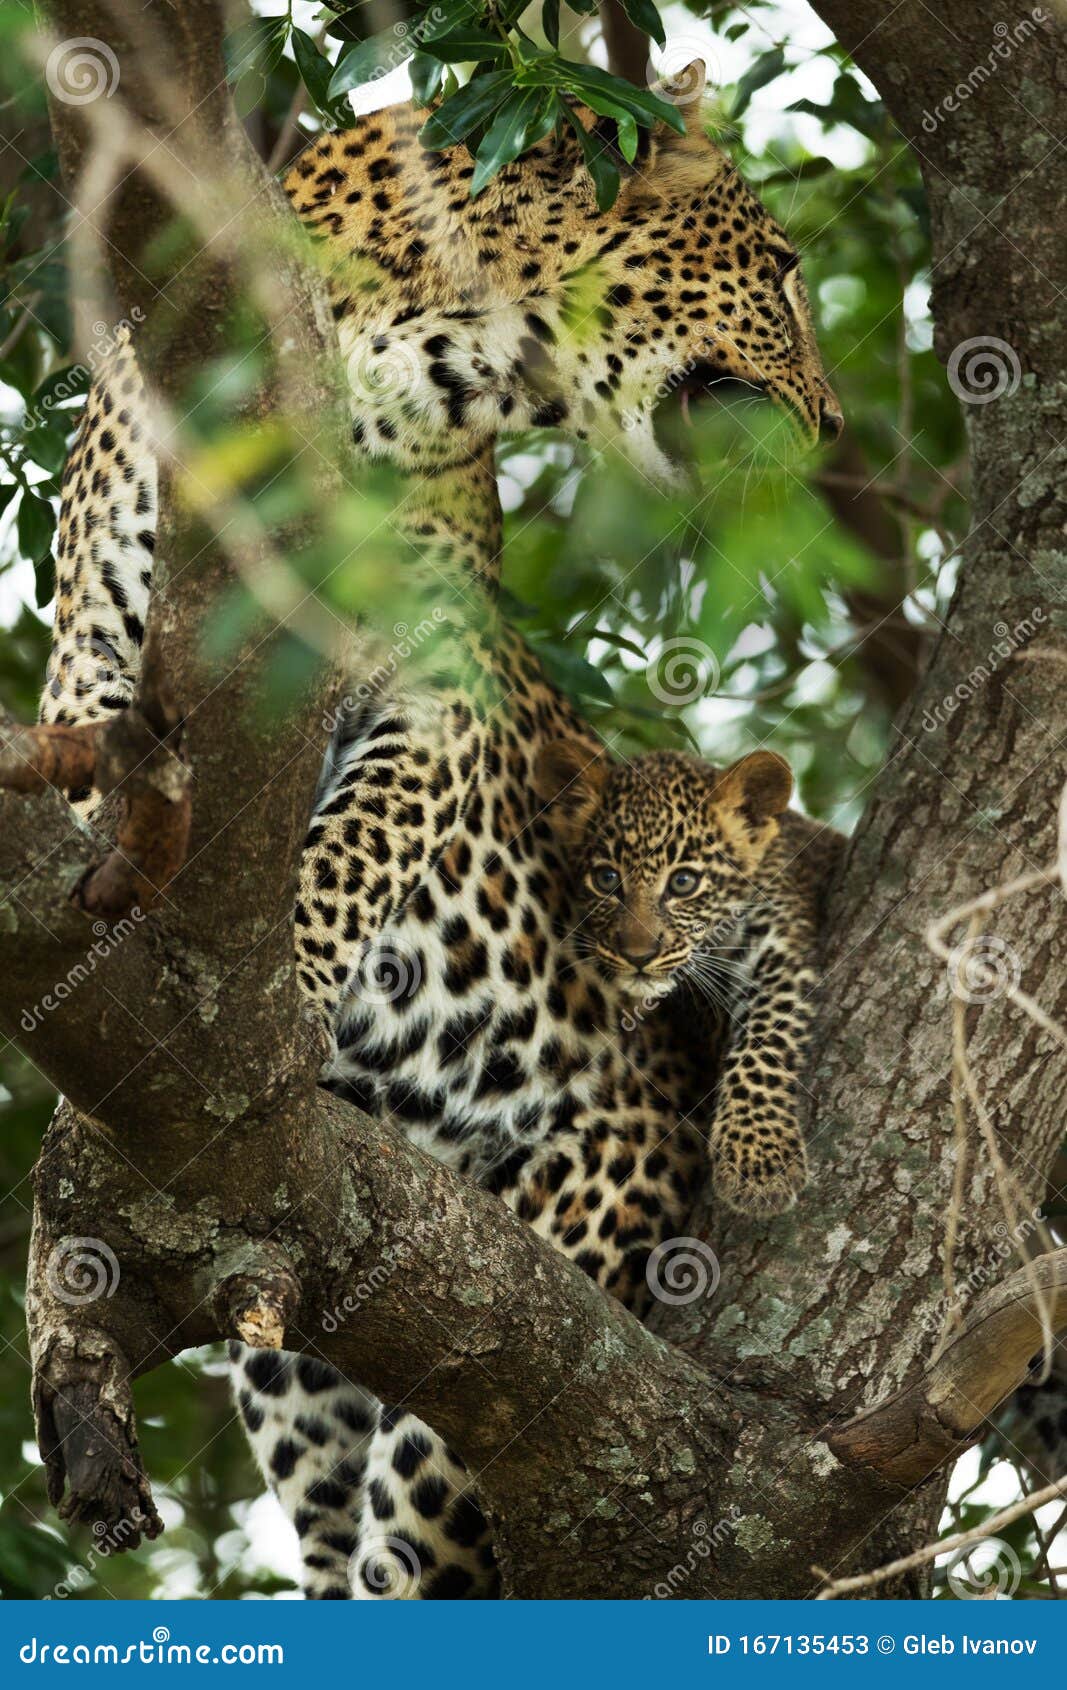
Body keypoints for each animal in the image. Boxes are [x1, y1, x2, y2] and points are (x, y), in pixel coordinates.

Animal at [37, 68, 844, 1598]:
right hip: (296, 1364)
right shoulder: (95, 668)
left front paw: (283, 996)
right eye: (774, 271)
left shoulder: (432, 688)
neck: (424, 339)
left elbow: (342, 856)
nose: (831, 424)